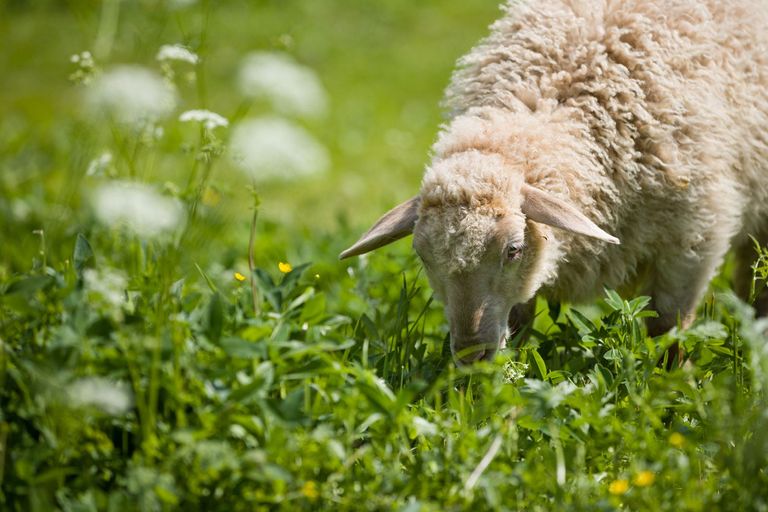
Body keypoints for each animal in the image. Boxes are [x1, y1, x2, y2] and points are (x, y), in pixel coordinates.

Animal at [340, 0, 768, 365]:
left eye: (513, 250)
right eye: (423, 256)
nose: (470, 355)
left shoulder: (694, 240)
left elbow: (668, 333)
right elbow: (518, 319)